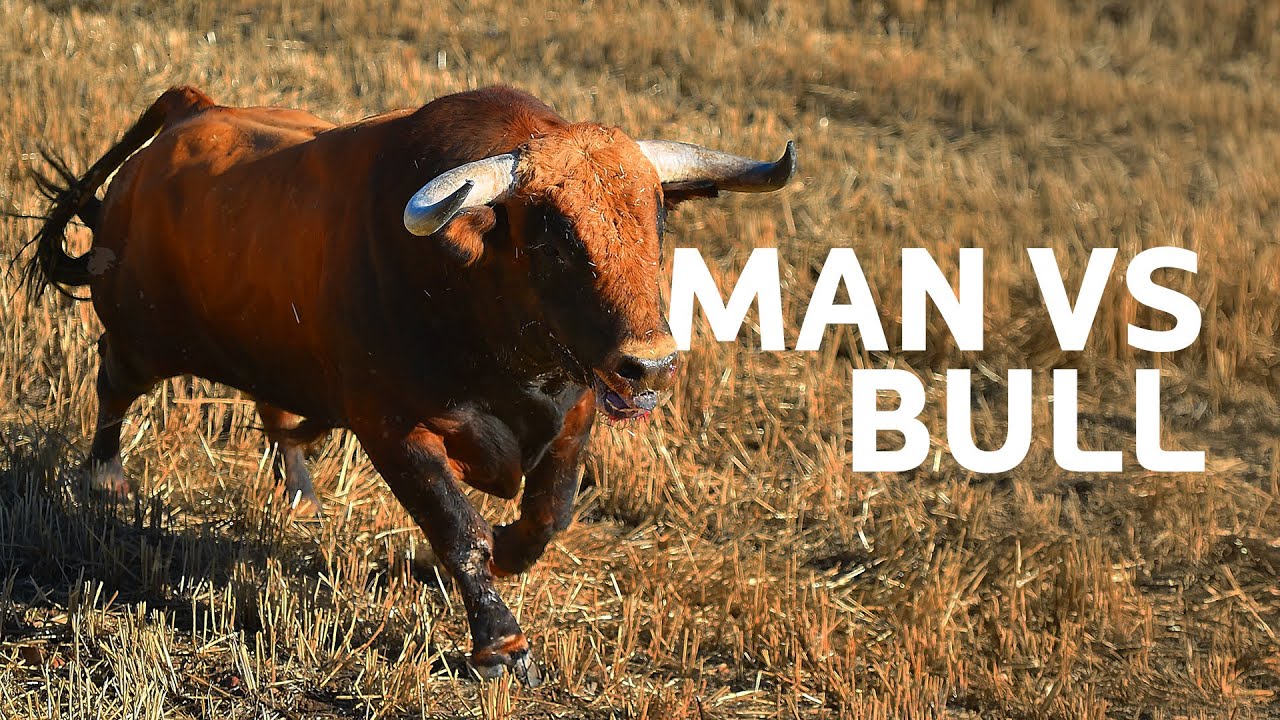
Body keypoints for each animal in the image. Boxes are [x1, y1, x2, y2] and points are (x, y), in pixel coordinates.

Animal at [25, 85, 794, 684]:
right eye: (554, 238)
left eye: (655, 221)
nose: (650, 365)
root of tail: (193, 110)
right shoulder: (394, 428)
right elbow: (458, 529)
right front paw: (501, 644)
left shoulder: (575, 414)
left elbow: (547, 518)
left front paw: (503, 554)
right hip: (141, 336)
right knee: (113, 385)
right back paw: (105, 477)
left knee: (275, 412)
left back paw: (299, 492)